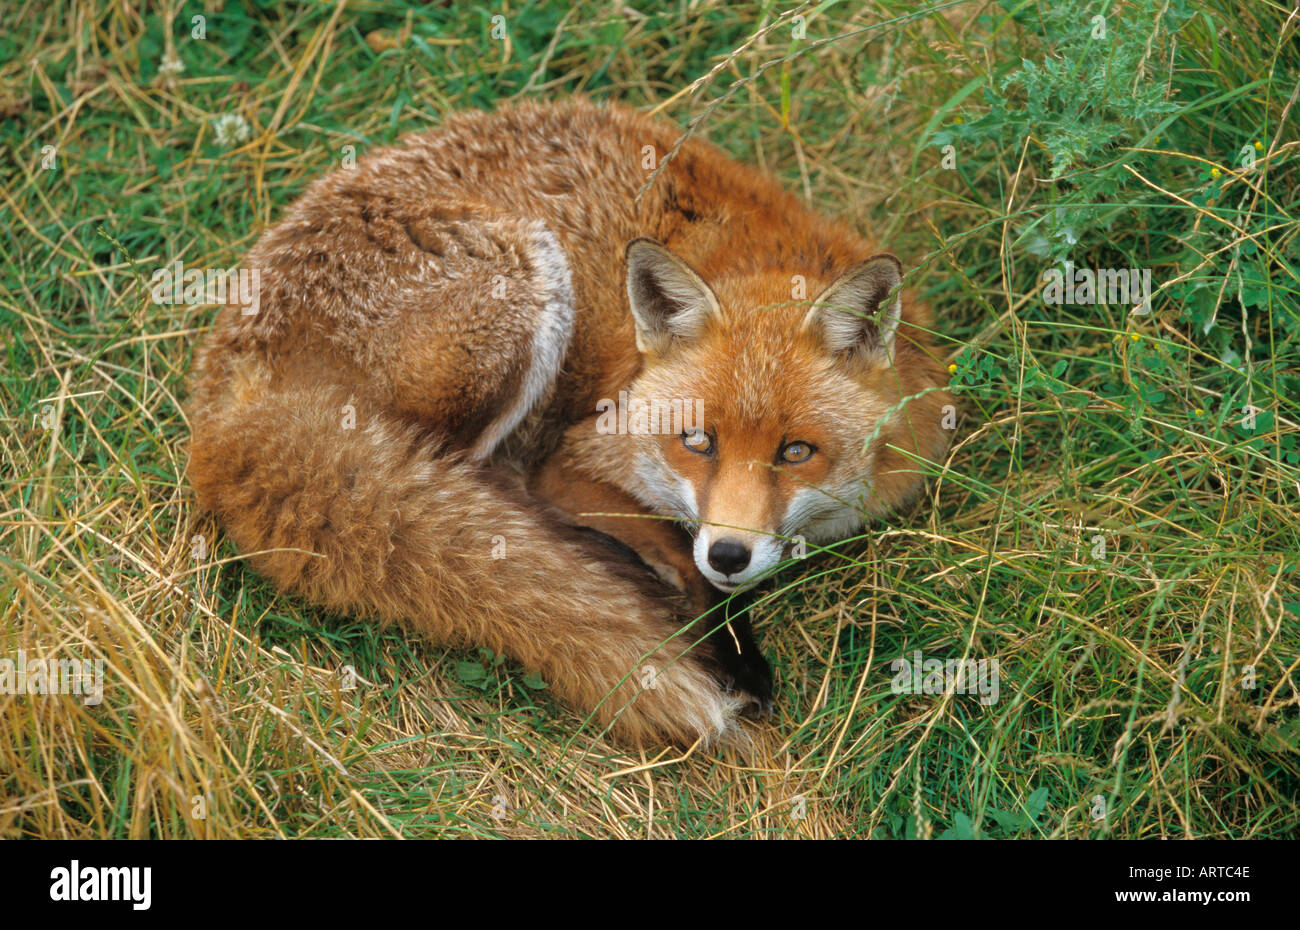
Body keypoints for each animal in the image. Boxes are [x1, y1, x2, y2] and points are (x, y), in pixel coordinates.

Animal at [186, 97, 952, 748]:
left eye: (796, 451)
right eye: (697, 442)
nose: (731, 553)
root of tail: (228, 397)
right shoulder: (579, 456)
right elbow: (676, 548)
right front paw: (726, 646)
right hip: (527, 284)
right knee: (476, 488)